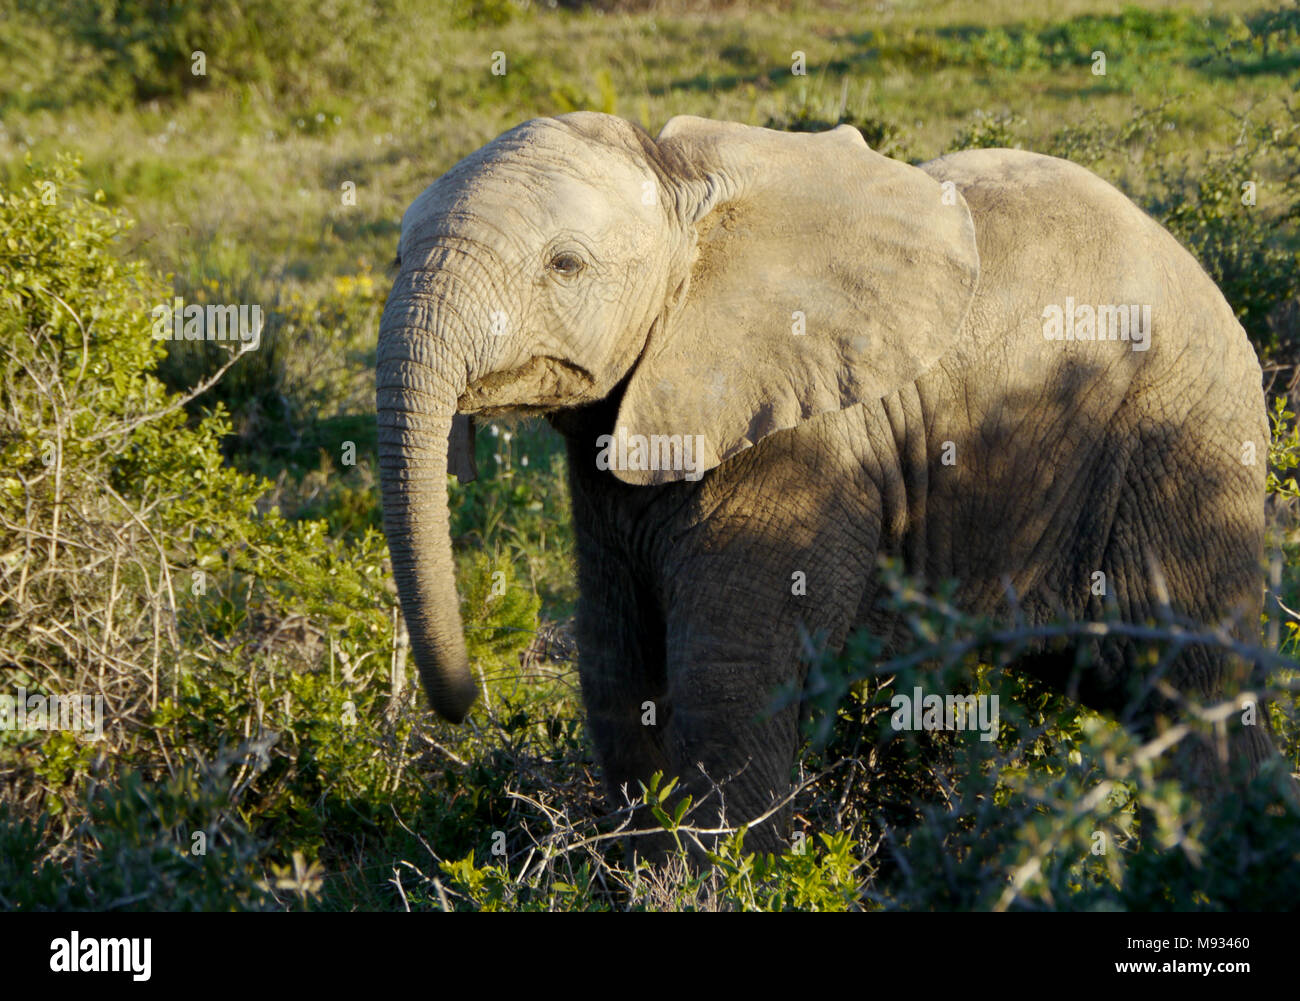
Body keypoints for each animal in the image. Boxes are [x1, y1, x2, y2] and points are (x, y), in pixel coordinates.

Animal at [376, 111, 1291, 858]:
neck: (684, 192)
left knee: (1196, 691)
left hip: (1180, 439)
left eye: (564, 265)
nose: (462, 699)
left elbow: (727, 685)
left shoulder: (801, 449)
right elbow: (617, 672)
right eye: (394, 256)